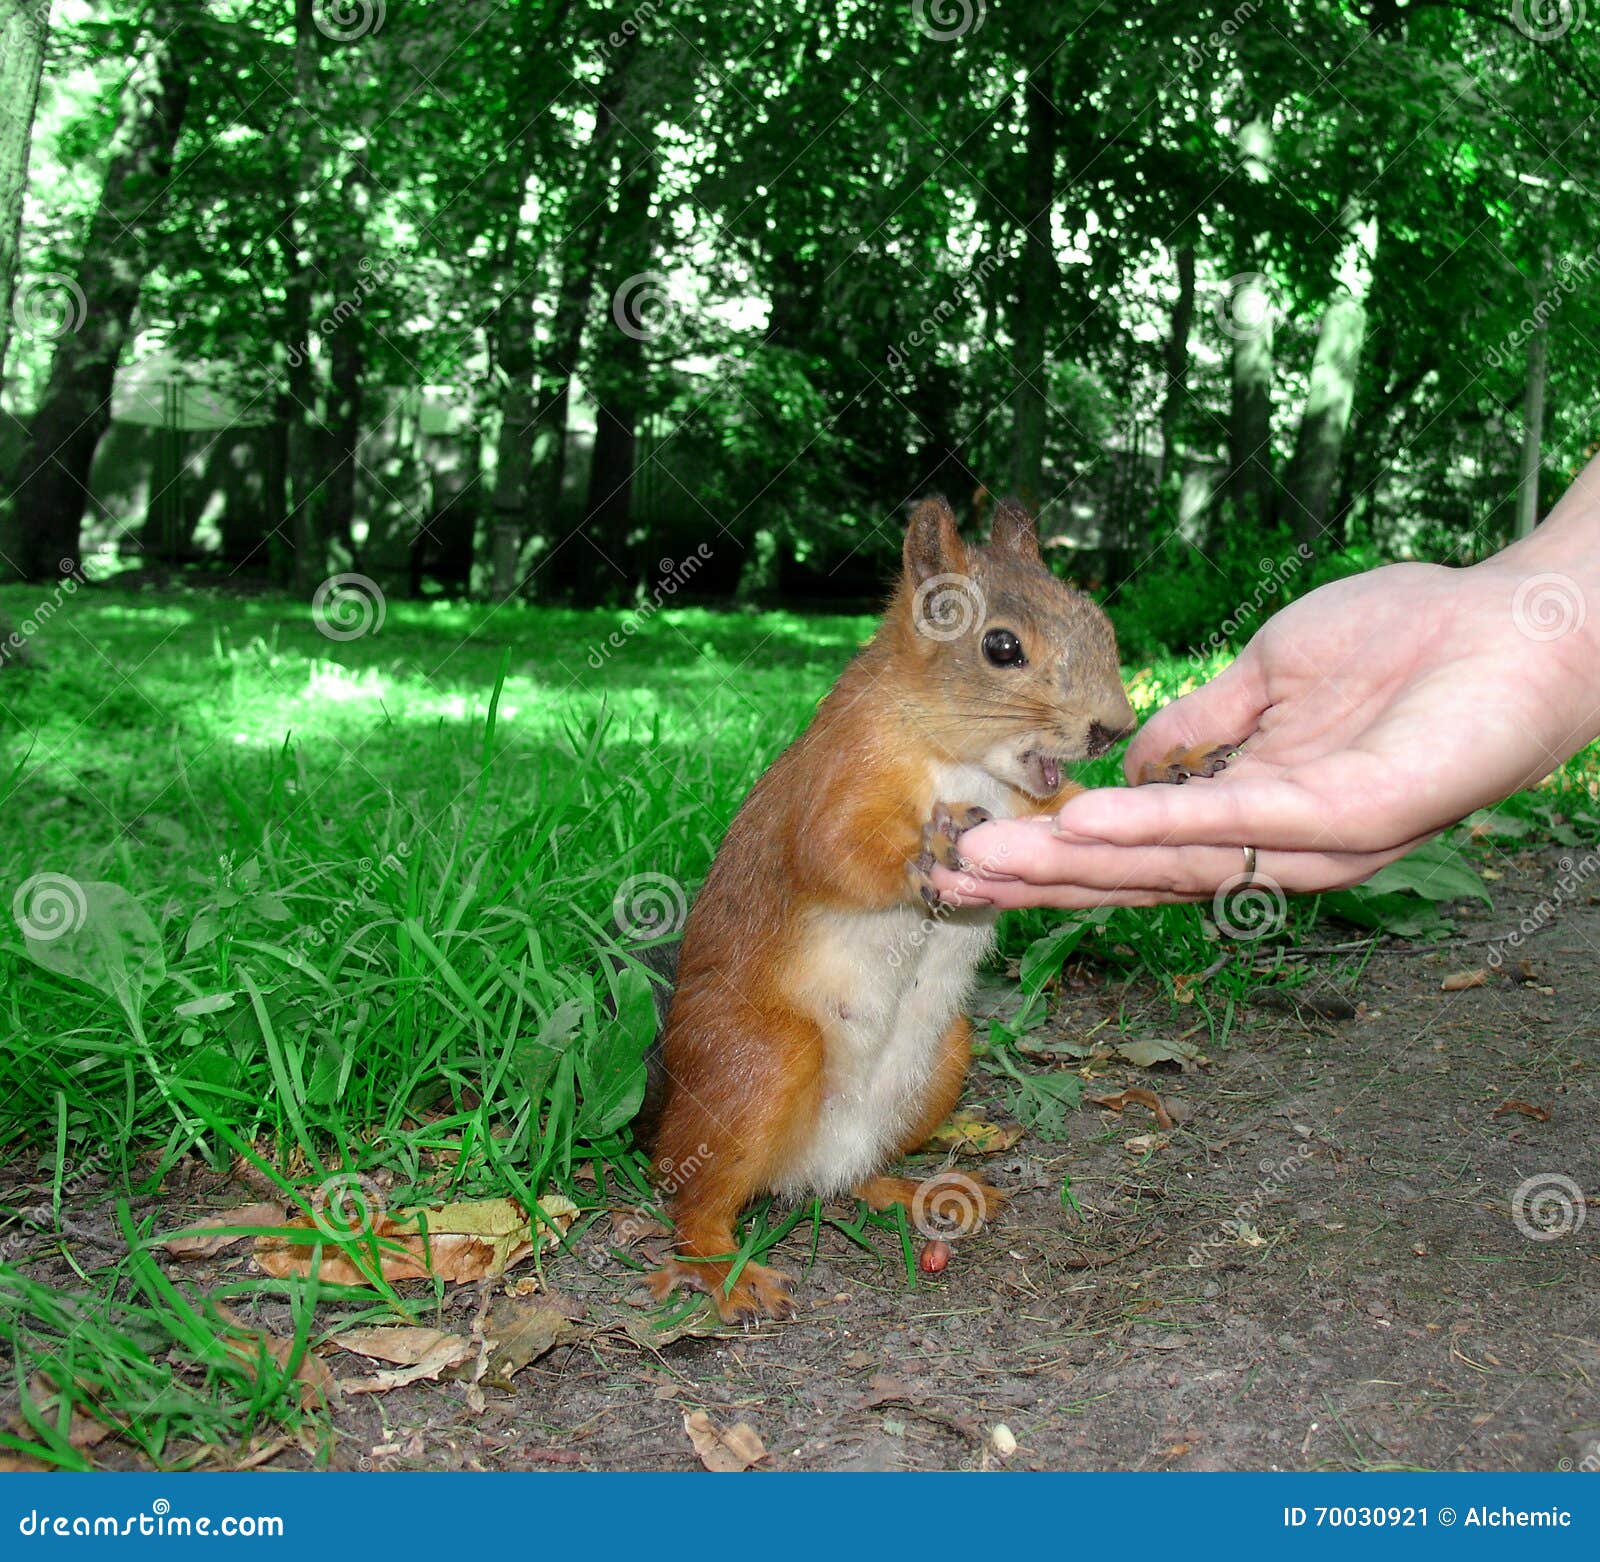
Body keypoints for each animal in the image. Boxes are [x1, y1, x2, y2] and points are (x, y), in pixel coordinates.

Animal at [644, 495, 1140, 1322]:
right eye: (1001, 647)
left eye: (1099, 621)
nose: (1115, 728)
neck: (969, 762)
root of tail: (803, 1170)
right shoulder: (844, 769)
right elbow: (832, 849)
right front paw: (929, 855)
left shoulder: (1034, 804)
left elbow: (1066, 810)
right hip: (758, 1062)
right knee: (693, 1200)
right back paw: (725, 1270)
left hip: (942, 1059)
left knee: (855, 1177)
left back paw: (915, 1190)